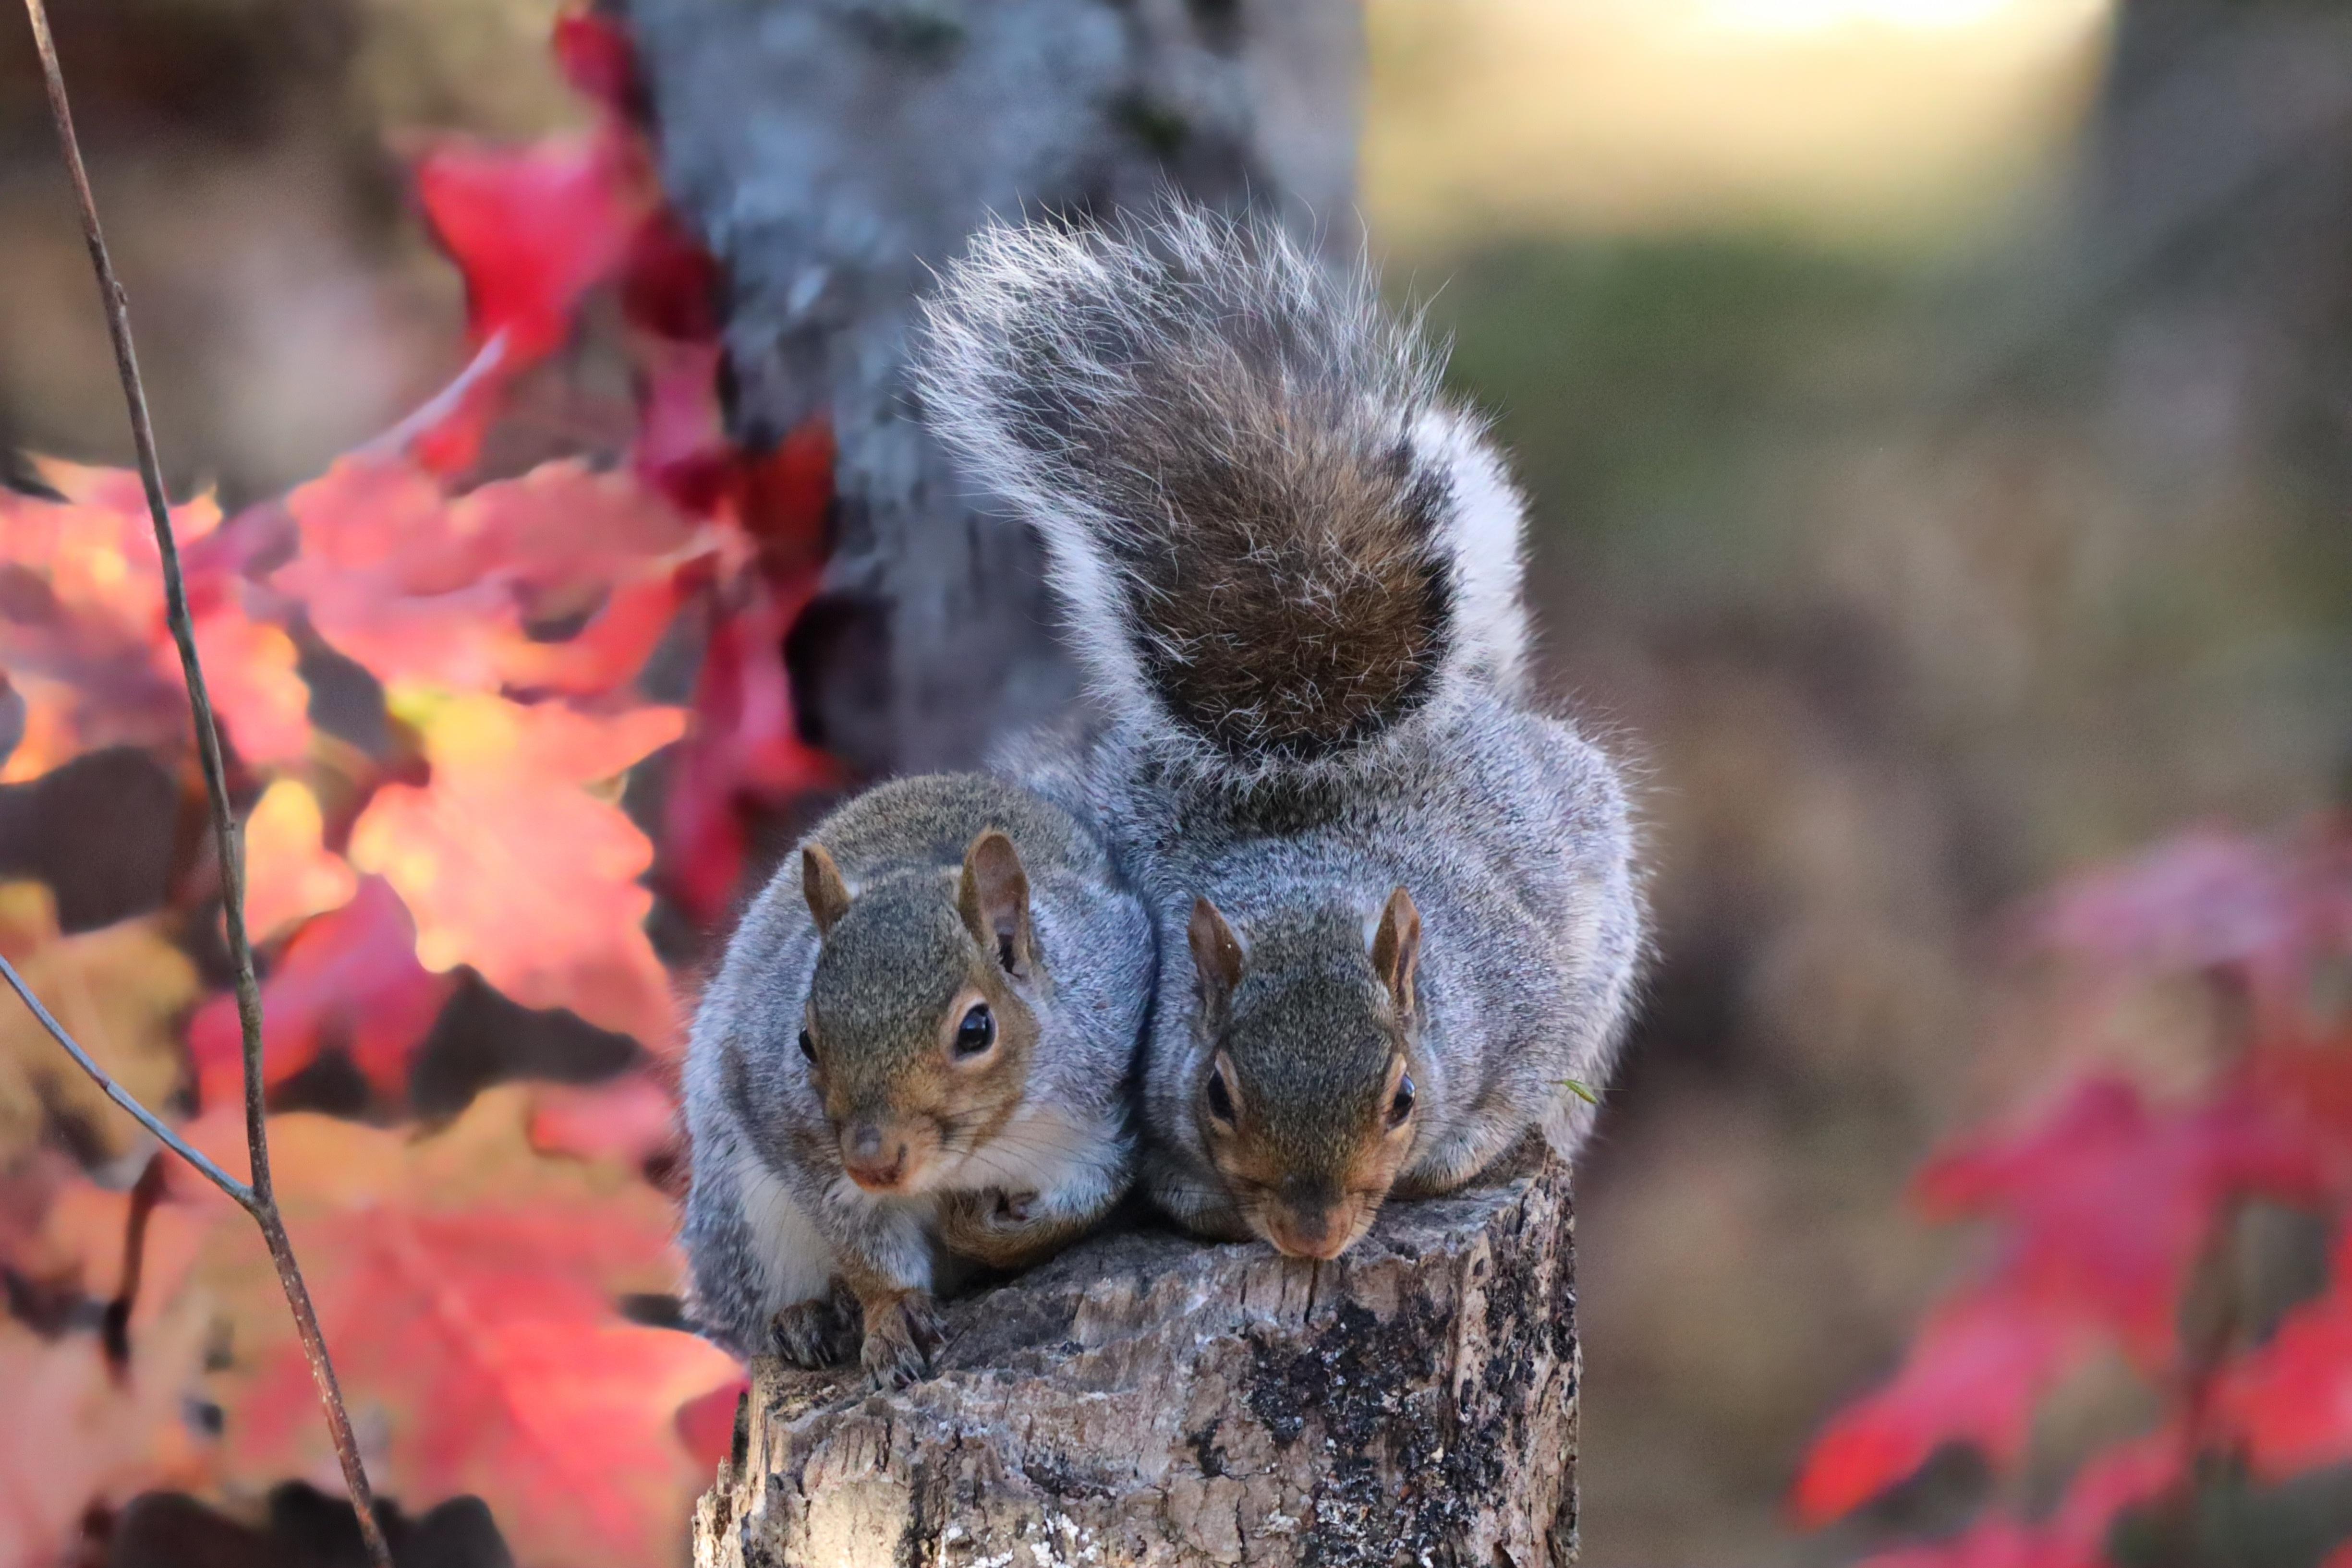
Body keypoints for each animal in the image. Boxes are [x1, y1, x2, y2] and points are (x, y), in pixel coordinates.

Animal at [679, 773, 1152, 1384]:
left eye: (976, 1029)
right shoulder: (795, 1138)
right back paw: (810, 1314)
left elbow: (1082, 1207)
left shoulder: (1105, 1108)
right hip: (742, 1215)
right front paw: (892, 1309)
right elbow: (863, 1243)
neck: (973, 1152)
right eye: (804, 1040)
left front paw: (984, 1230)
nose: (872, 1162)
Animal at [915, 206, 1645, 1261]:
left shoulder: (1524, 999)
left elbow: (1513, 1088)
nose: (1311, 1233)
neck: (1307, 888)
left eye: (1402, 1096)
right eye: (1216, 1093)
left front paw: (1448, 1158)